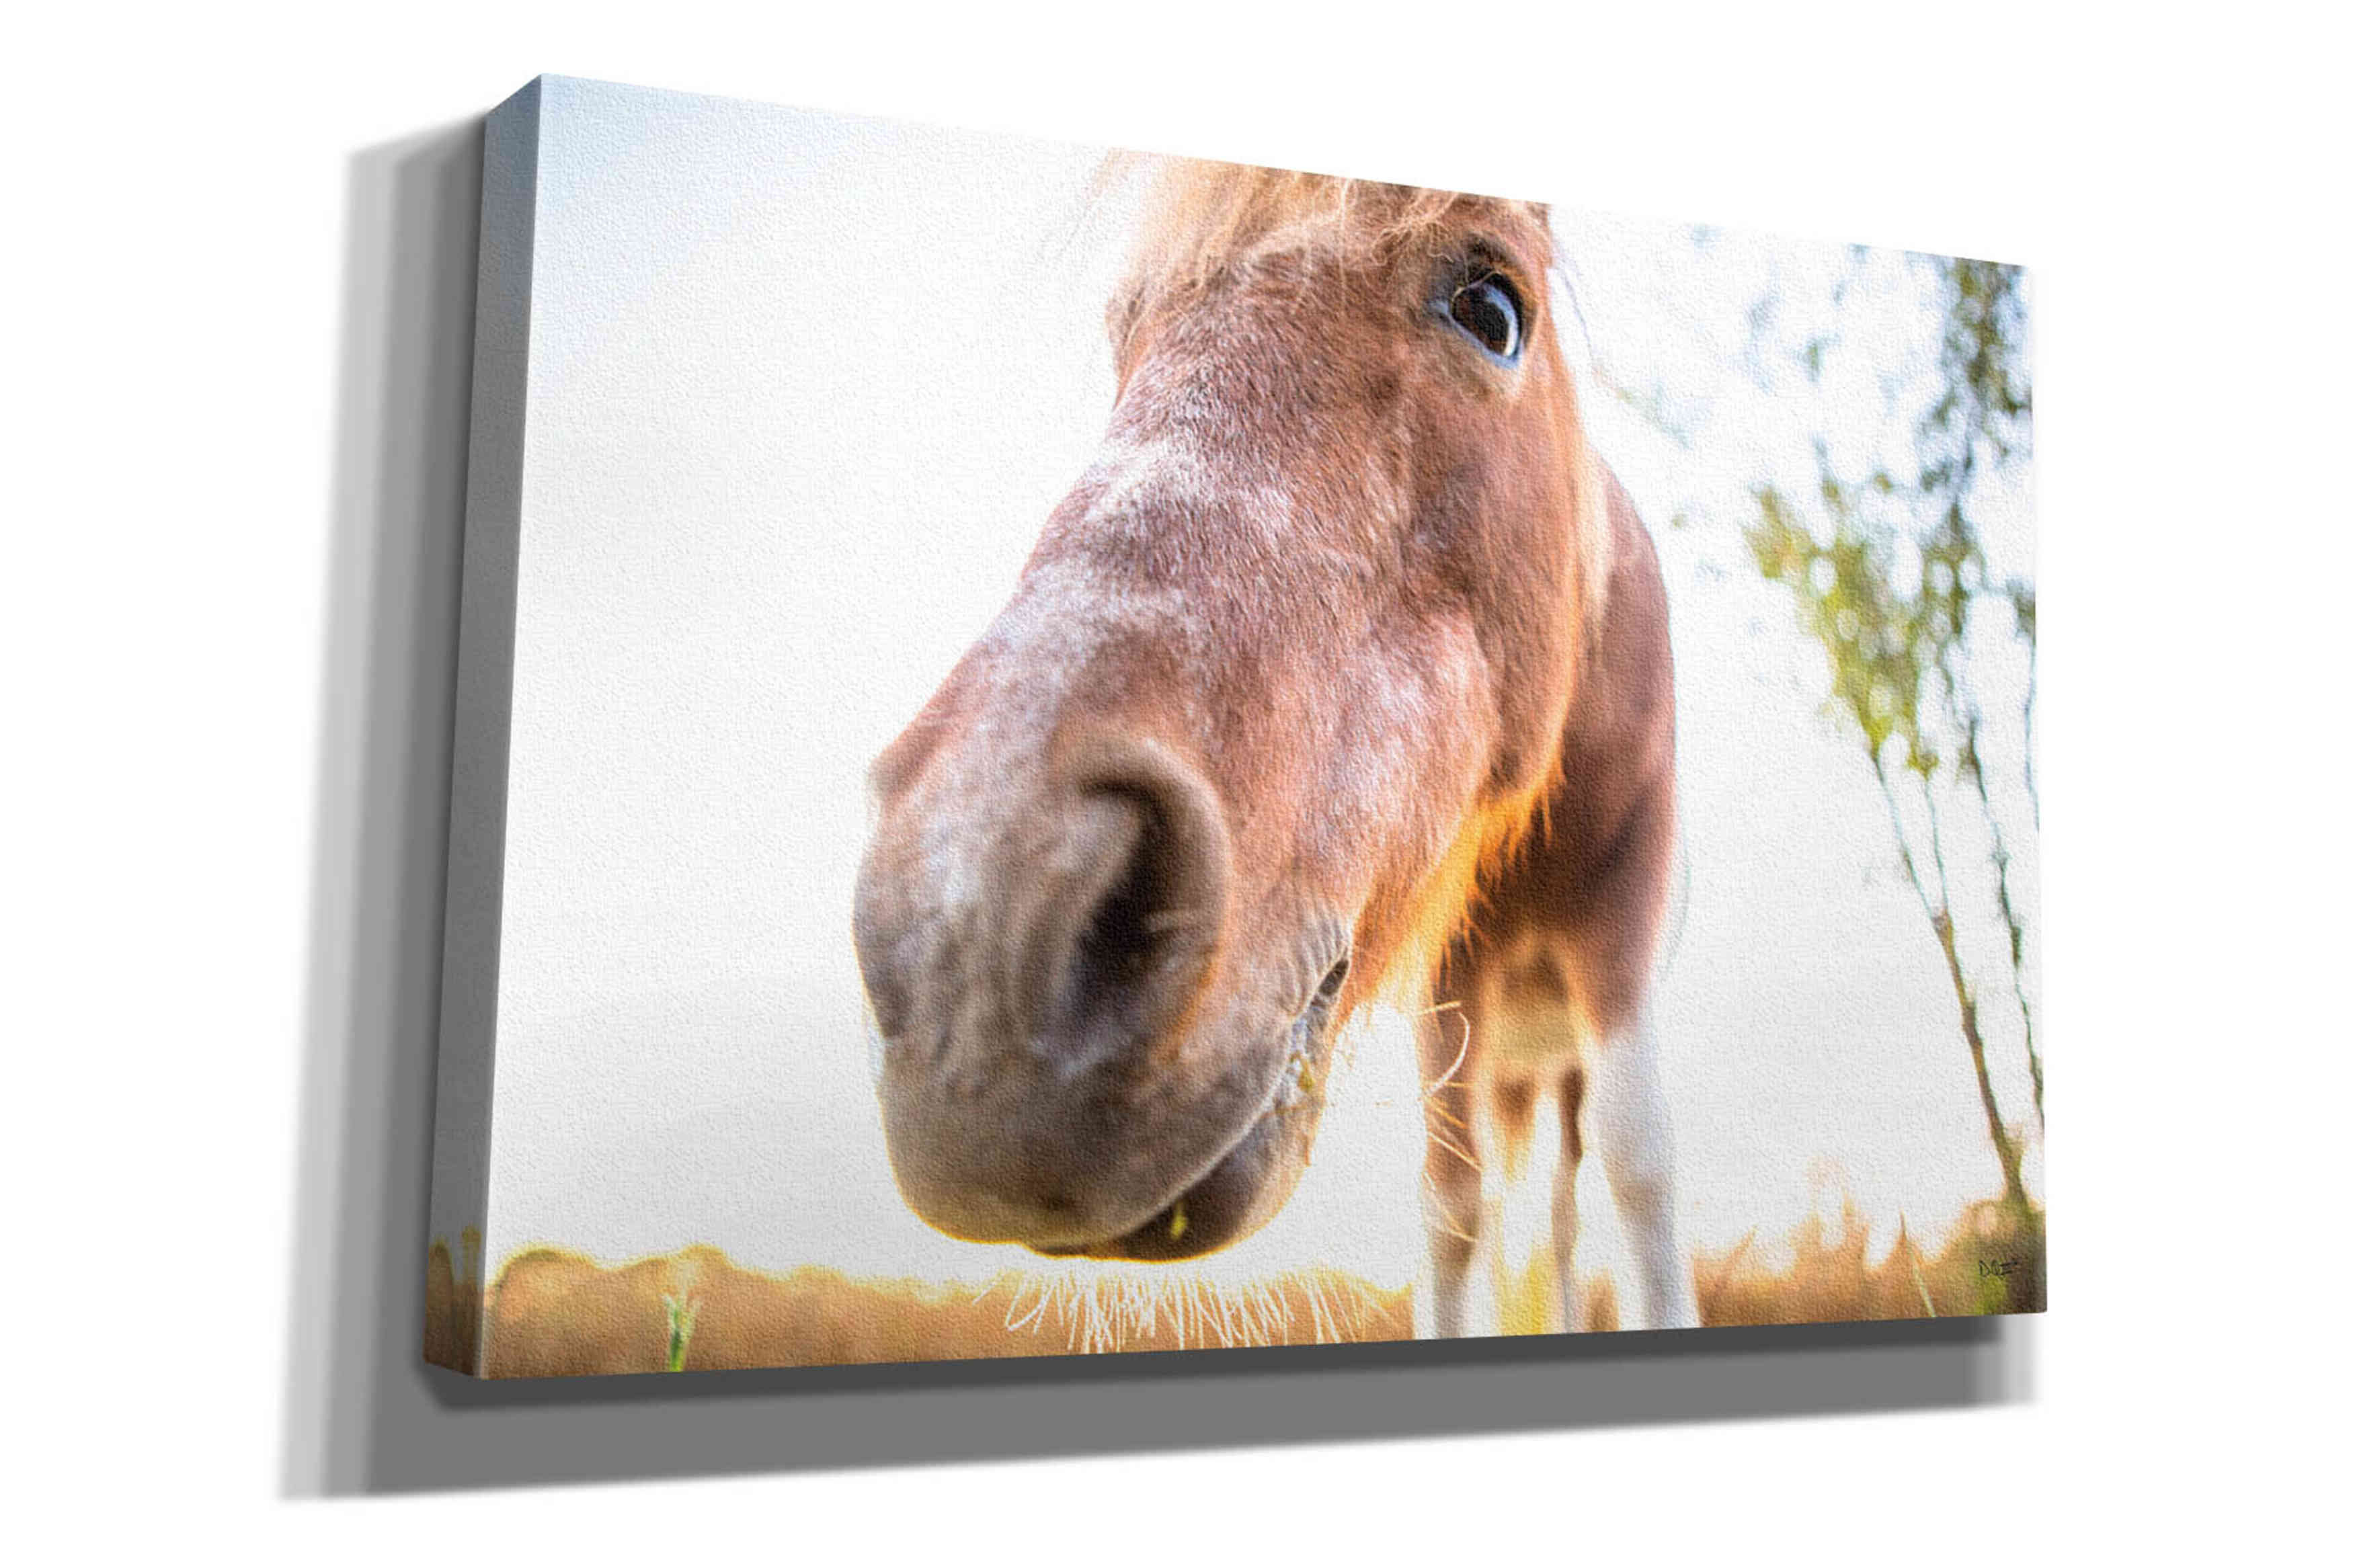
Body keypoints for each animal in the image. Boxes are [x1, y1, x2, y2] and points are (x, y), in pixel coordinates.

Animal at [851, 158, 1700, 1335]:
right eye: (1127, 335)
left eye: (1492, 310)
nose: (973, 940)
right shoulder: (1449, 990)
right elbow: (1451, 1207)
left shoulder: (1617, 931)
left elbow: (1642, 1171)